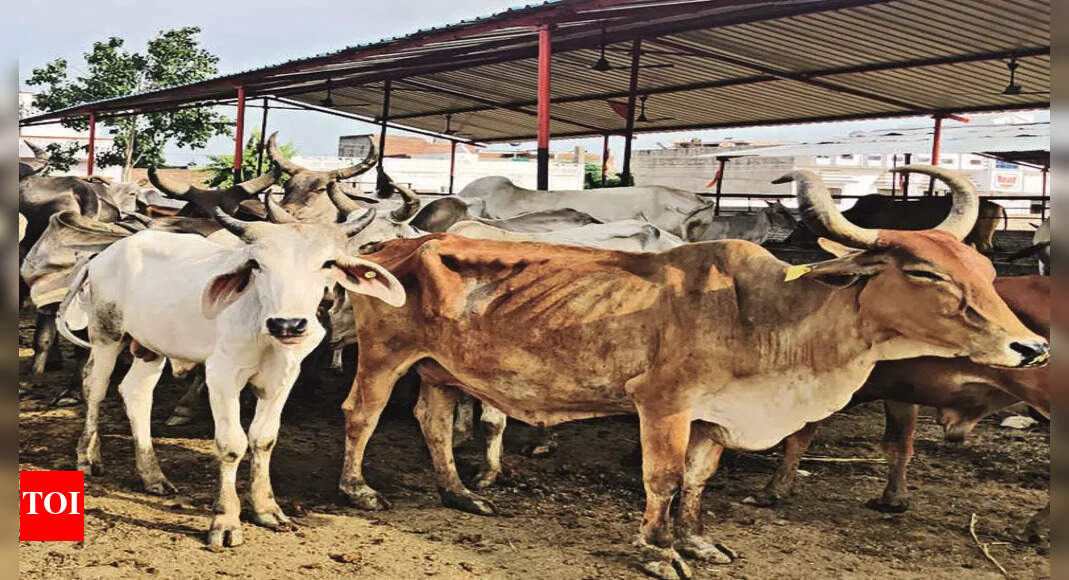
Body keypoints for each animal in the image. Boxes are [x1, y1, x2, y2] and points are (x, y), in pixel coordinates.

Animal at [56, 200, 405, 548]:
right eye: (257, 264)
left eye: (328, 263)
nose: (288, 324)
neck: (264, 327)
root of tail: (107, 252)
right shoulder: (222, 375)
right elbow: (232, 444)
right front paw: (225, 521)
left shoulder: (284, 377)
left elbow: (264, 439)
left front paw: (266, 509)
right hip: (106, 333)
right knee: (95, 387)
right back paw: (88, 457)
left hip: (150, 346)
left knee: (136, 393)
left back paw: (152, 475)